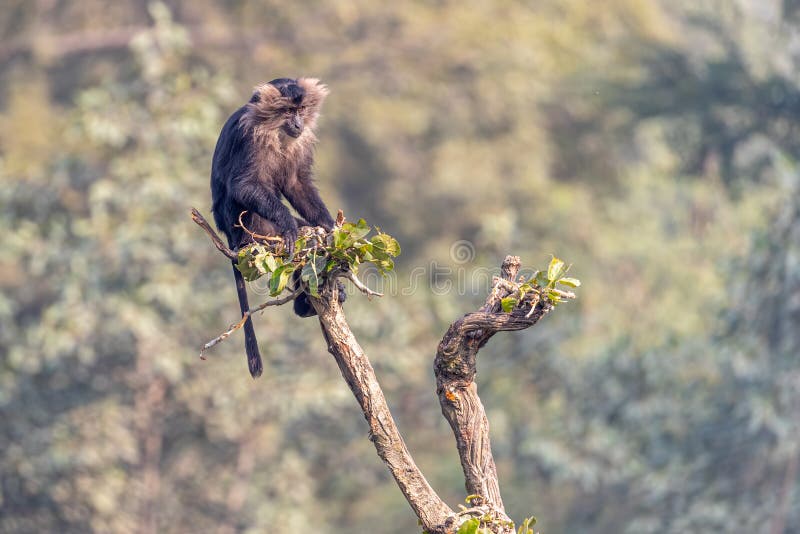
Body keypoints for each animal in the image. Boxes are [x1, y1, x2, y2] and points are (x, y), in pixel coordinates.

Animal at [210, 77, 344, 378]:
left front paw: (331, 229)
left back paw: (306, 305)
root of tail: (231, 239)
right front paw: (288, 224)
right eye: (287, 111)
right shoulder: (250, 134)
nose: (298, 123)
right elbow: (244, 185)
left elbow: (296, 183)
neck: (275, 129)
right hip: (253, 228)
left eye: (301, 109)